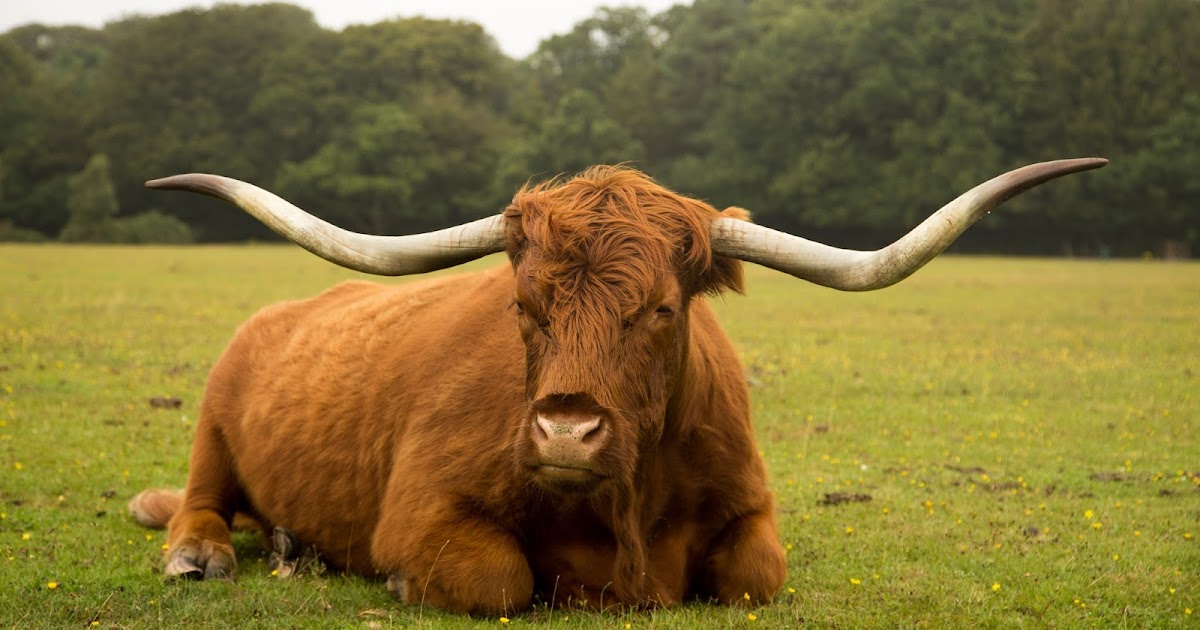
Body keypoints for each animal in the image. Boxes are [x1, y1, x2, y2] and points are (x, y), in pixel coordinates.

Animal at [128, 159, 1105, 616]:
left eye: (661, 309)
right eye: (524, 305)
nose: (565, 430)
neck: (631, 511)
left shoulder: (751, 511)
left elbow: (754, 573)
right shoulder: (420, 511)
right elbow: (496, 576)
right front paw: (405, 584)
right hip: (214, 421)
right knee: (200, 502)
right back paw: (202, 554)